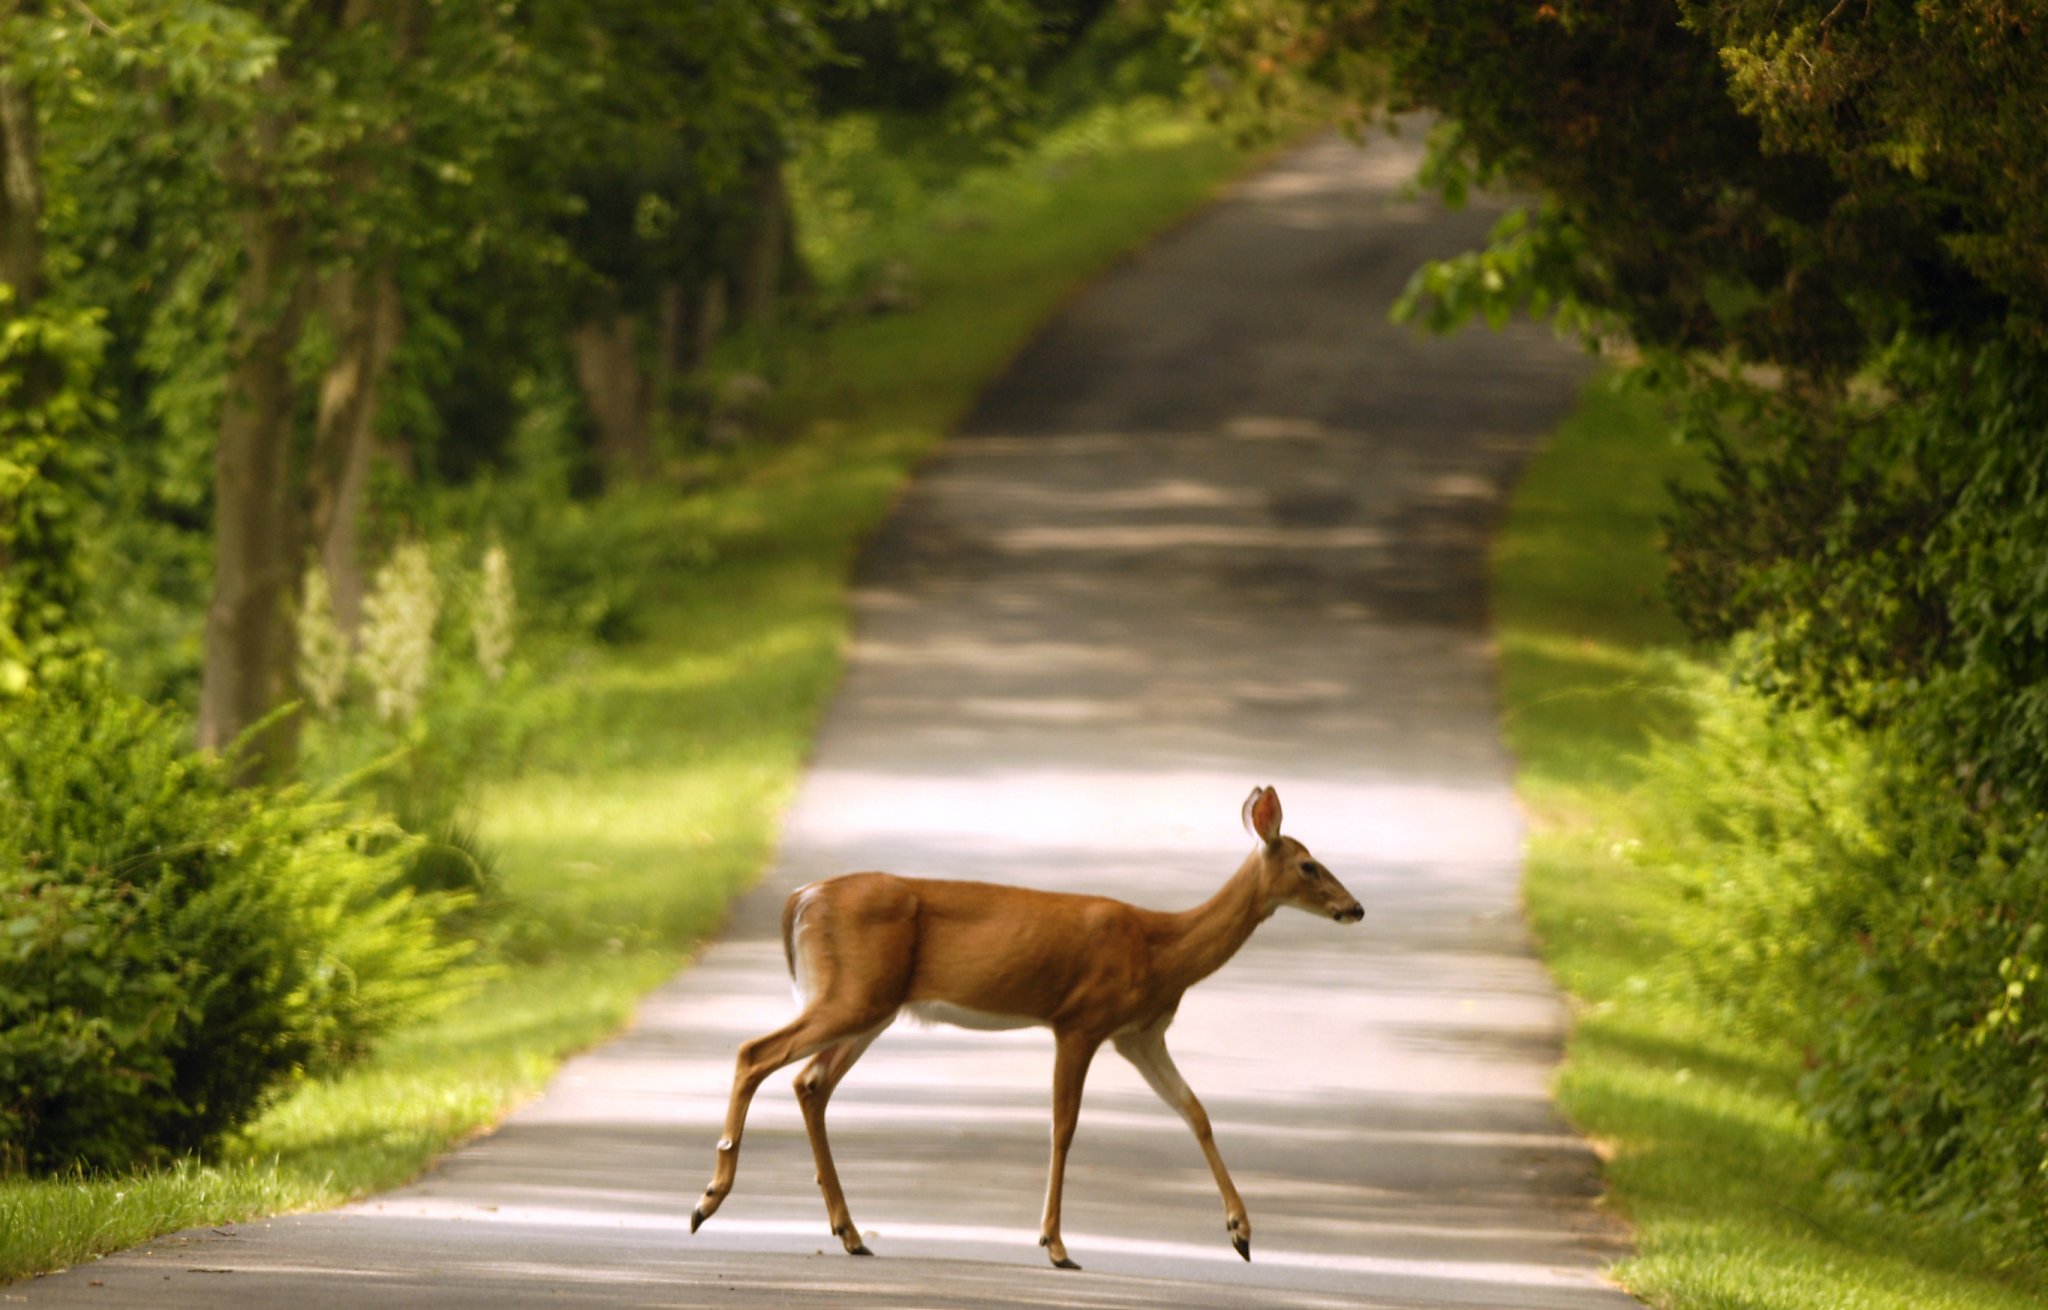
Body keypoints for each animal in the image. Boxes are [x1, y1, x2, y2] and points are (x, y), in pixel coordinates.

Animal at [687, 784, 1364, 1270]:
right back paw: (707, 1201)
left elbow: (1196, 1111)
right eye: (1309, 865)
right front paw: (1055, 1245)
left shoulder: (1139, 1034)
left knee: (809, 1082)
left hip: (870, 1006)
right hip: (852, 995)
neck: (1162, 948)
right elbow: (1064, 1127)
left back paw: (850, 1232)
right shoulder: (1081, 1020)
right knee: (755, 1052)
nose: (1354, 907)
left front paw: (1241, 1233)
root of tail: (800, 898)